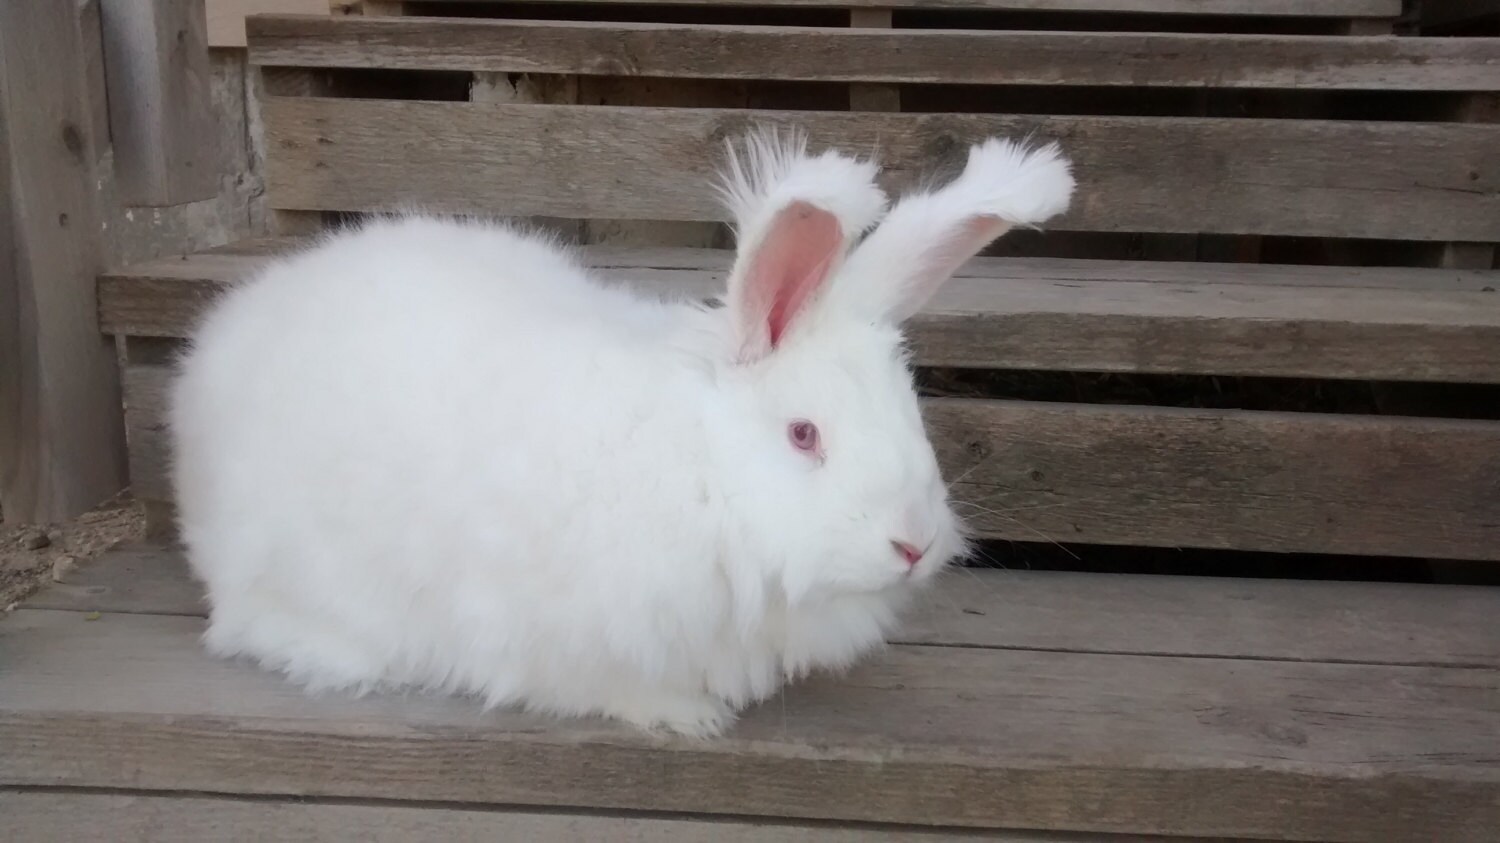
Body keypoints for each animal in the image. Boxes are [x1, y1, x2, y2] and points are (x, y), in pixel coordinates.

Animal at [169, 128, 1075, 737]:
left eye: (911, 410)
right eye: (803, 434)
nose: (914, 544)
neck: (702, 472)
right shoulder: (554, 634)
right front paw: (692, 715)